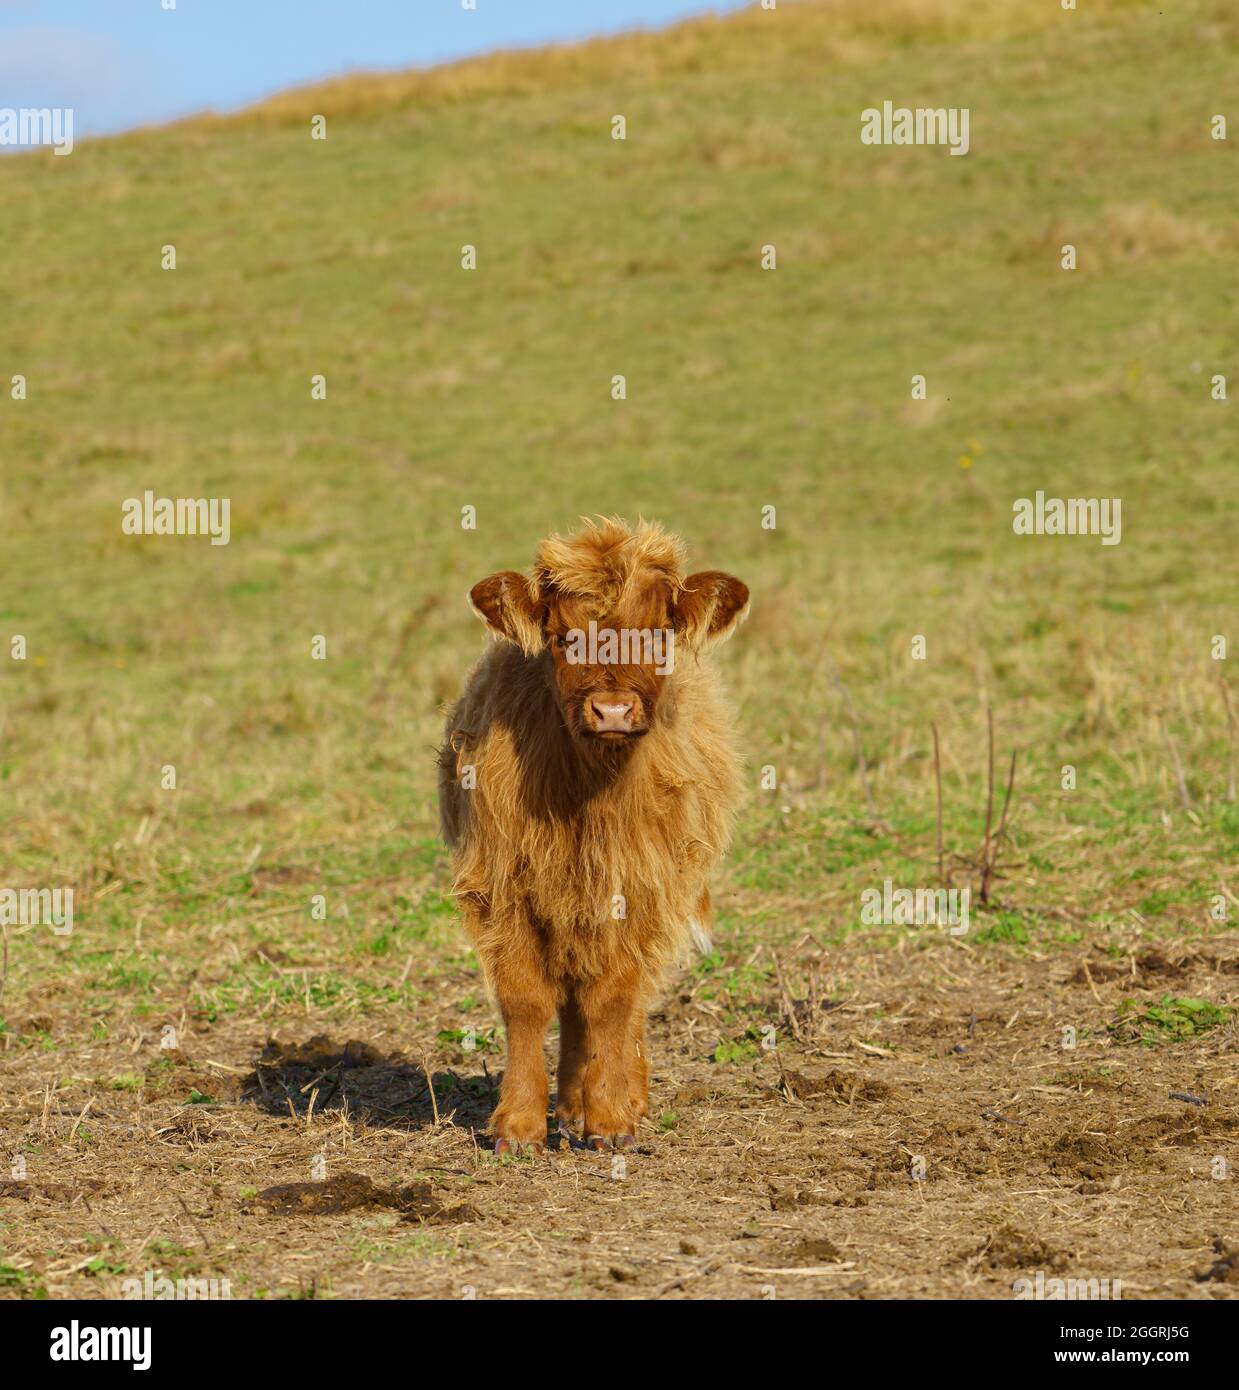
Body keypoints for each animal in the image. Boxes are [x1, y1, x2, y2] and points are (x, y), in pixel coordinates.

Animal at [437, 518, 749, 1153]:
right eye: (562, 638)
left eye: (657, 637)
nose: (612, 711)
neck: (588, 797)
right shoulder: (503, 886)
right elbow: (527, 1001)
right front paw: (521, 1125)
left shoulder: (642, 889)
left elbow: (613, 1000)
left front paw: (610, 1119)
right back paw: (569, 1104)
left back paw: (623, 1097)